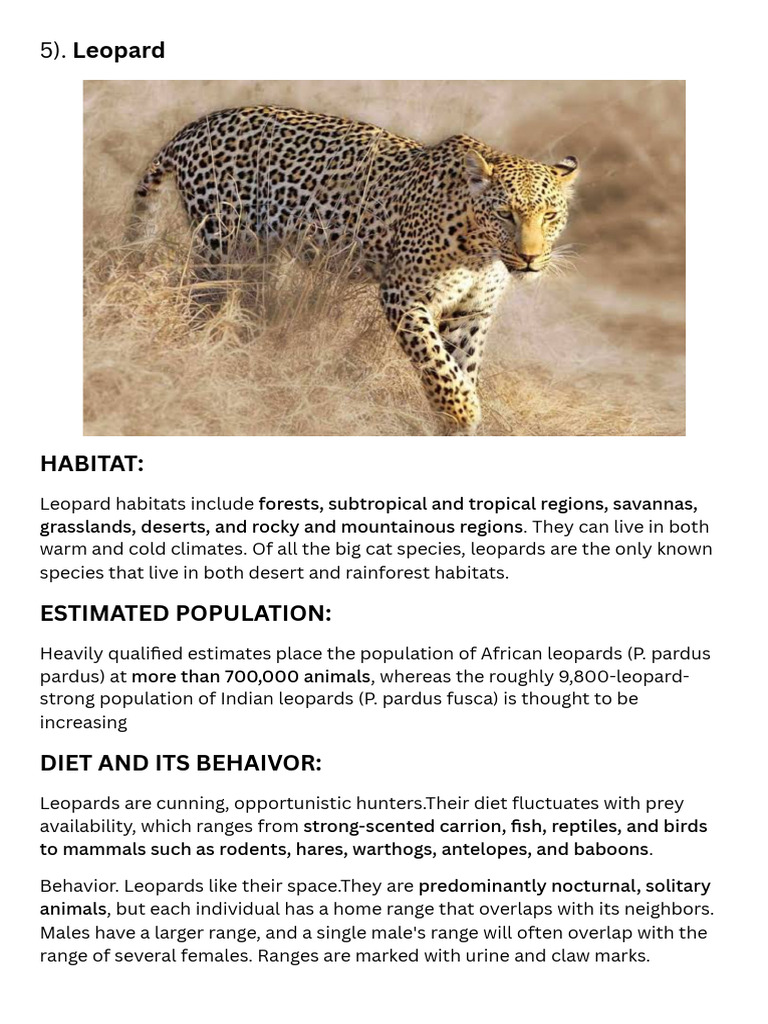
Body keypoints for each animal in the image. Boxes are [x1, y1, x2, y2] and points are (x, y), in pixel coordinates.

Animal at [130, 105, 579, 433]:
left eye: (550, 215)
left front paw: (457, 420)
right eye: (505, 214)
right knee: (196, 295)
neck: (480, 252)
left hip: (256, 252)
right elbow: (436, 362)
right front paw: (463, 412)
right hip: (224, 242)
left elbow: (463, 365)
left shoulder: (471, 312)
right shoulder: (405, 295)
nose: (530, 258)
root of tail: (192, 127)